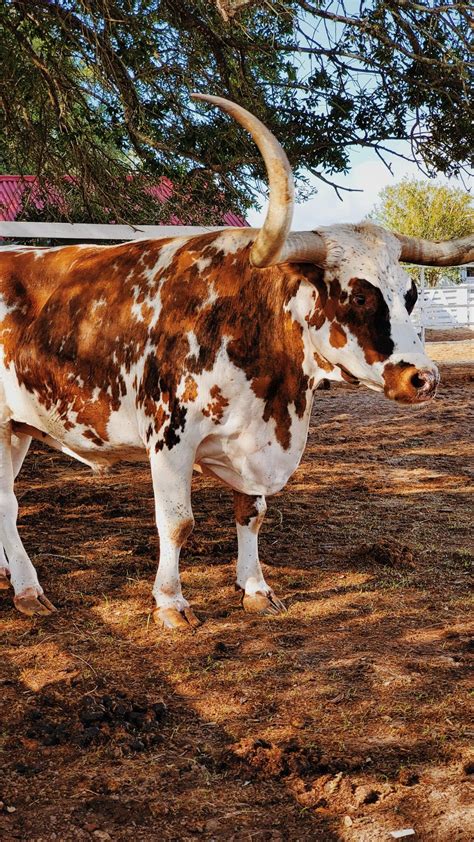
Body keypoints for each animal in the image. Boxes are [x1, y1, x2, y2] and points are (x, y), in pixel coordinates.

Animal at [0, 95, 472, 630]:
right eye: (357, 297)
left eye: (411, 294)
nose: (423, 377)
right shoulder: (170, 437)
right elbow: (177, 522)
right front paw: (171, 602)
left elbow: (252, 512)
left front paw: (255, 588)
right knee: (8, 504)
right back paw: (28, 589)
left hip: (20, 427)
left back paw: (11, 576)